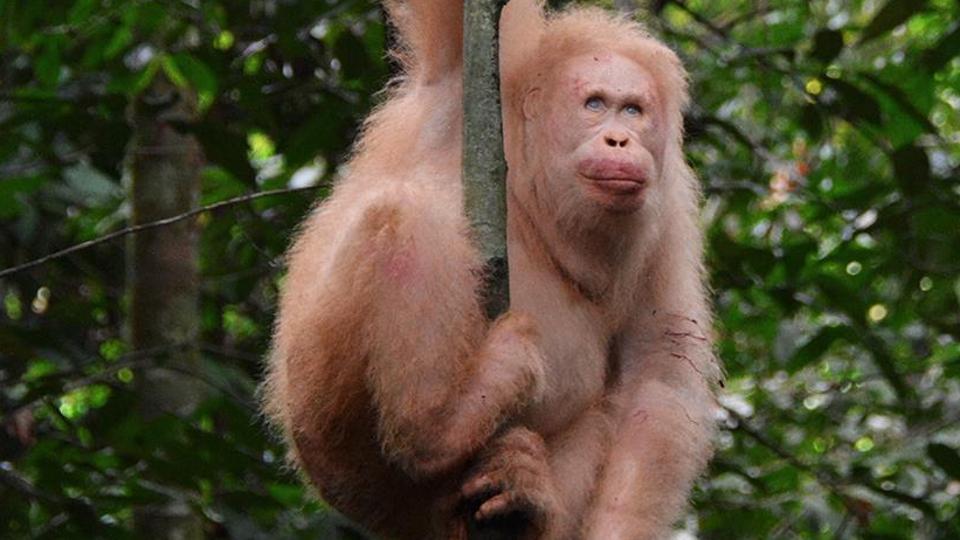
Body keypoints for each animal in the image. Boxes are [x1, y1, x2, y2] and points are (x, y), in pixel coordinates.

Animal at [262, 1, 721, 539]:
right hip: (331, 424)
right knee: (402, 216)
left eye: (633, 110)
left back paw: (528, 496)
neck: (526, 184)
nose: (620, 139)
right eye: (595, 104)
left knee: (598, 417)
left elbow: (658, 373)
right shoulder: (474, 81)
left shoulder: (668, 206)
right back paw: (439, 425)